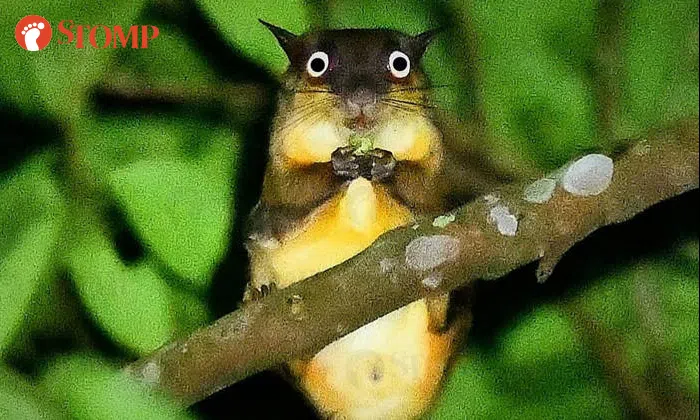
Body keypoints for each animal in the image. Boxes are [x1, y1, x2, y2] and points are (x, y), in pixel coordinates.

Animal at [244, 21, 507, 419]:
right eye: (317, 64)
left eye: (399, 63)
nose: (361, 95)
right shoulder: (276, 174)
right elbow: (284, 202)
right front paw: (339, 164)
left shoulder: (434, 164)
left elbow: (428, 197)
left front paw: (385, 164)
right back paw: (259, 296)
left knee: (446, 316)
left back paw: (443, 302)